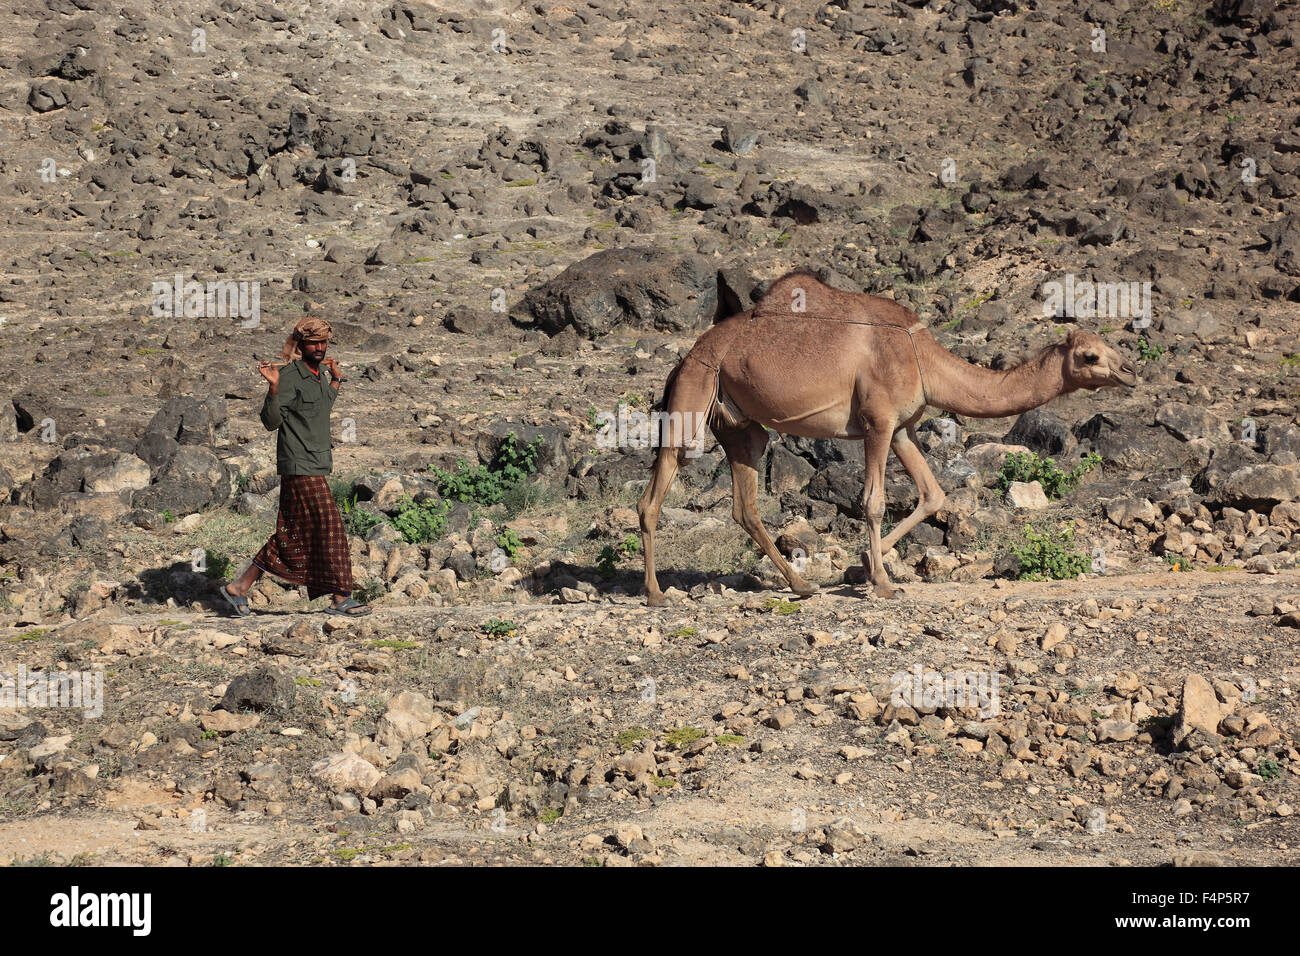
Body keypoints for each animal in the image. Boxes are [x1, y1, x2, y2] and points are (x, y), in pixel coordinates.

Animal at [636, 271, 1137, 607]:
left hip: (739, 425)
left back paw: (801, 585)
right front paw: (881, 582)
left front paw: (861, 565)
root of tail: (684, 359)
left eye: (1109, 348)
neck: (923, 358)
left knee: (745, 503)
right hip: (695, 393)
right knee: (655, 492)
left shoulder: (902, 428)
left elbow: (934, 495)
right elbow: (873, 502)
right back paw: (657, 593)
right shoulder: (876, 422)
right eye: (1090, 356)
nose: (1130, 371)